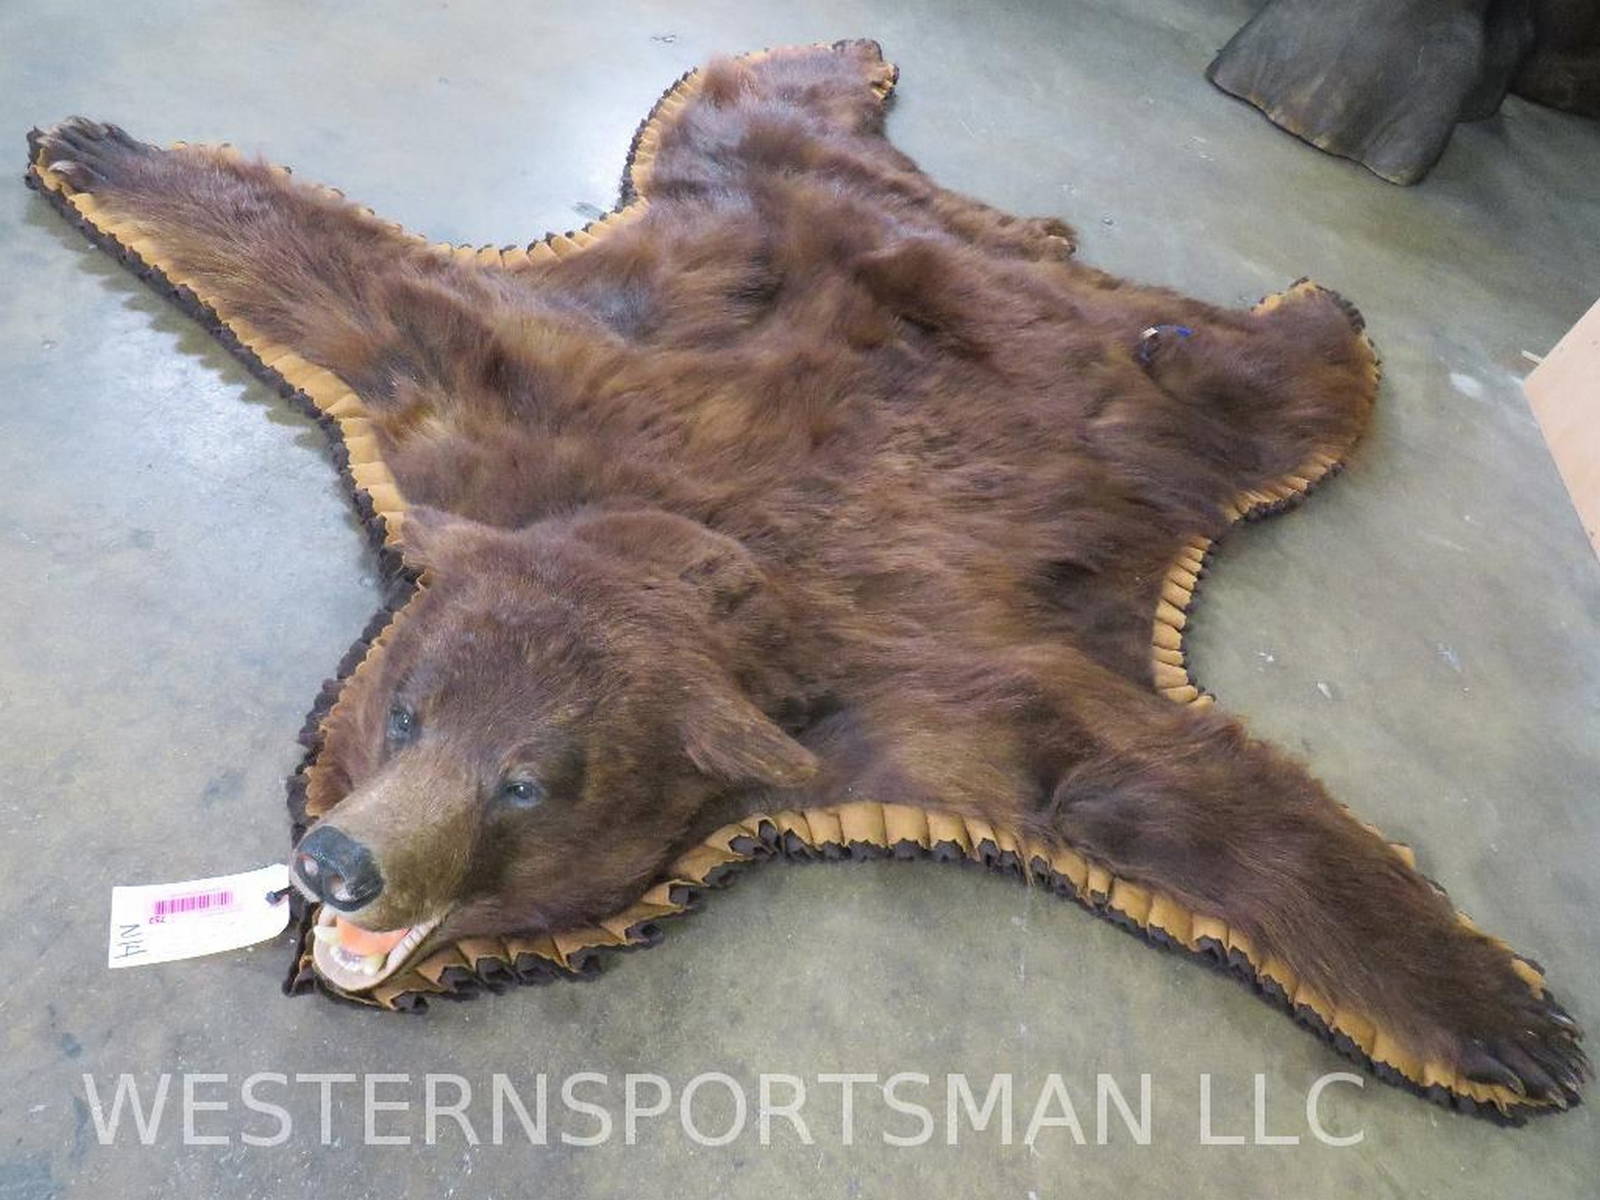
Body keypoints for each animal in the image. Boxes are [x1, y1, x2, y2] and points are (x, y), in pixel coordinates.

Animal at [28, 39, 1585, 1114]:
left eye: (527, 784)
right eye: (403, 711)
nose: (337, 862)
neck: (710, 555)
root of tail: (1015, 233)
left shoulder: (917, 682)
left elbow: (1139, 779)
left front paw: (1510, 1022)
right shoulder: (501, 427)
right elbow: (362, 292)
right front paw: (91, 141)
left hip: (1162, 414)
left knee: (1267, 384)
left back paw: (1309, 314)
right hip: (747, 189)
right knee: (745, 107)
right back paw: (853, 67)